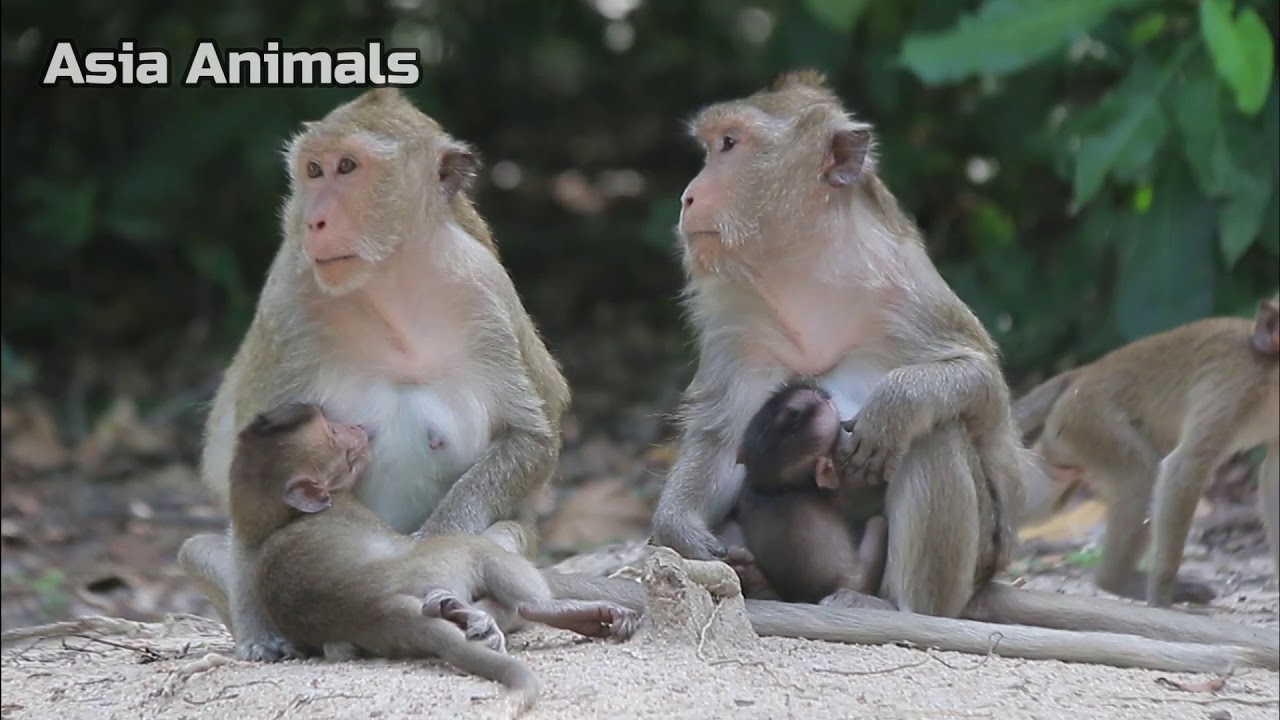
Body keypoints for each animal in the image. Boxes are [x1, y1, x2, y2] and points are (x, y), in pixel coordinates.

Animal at [178, 87, 571, 662]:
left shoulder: (486, 290)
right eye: (313, 170)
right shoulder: (287, 297)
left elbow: (532, 438)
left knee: (505, 535)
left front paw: (434, 546)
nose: (314, 221)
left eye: (347, 167)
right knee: (196, 549)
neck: (390, 284)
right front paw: (258, 637)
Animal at [229, 402, 638, 715]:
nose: (356, 428)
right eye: (333, 432)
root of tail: (374, 606)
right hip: (441, 564)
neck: (284, 518)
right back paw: (558, 611)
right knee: (493, 567)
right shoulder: (356, 510)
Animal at [1012, 295, 1280, 606]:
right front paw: (1161, 600)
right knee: (1141, 478)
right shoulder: (1234, 384)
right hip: (1089, 421)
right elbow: (1183, 470)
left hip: (1065, 440)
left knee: (1044, 492)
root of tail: (1082, 373)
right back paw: (1116, 582)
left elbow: (1273, 474)